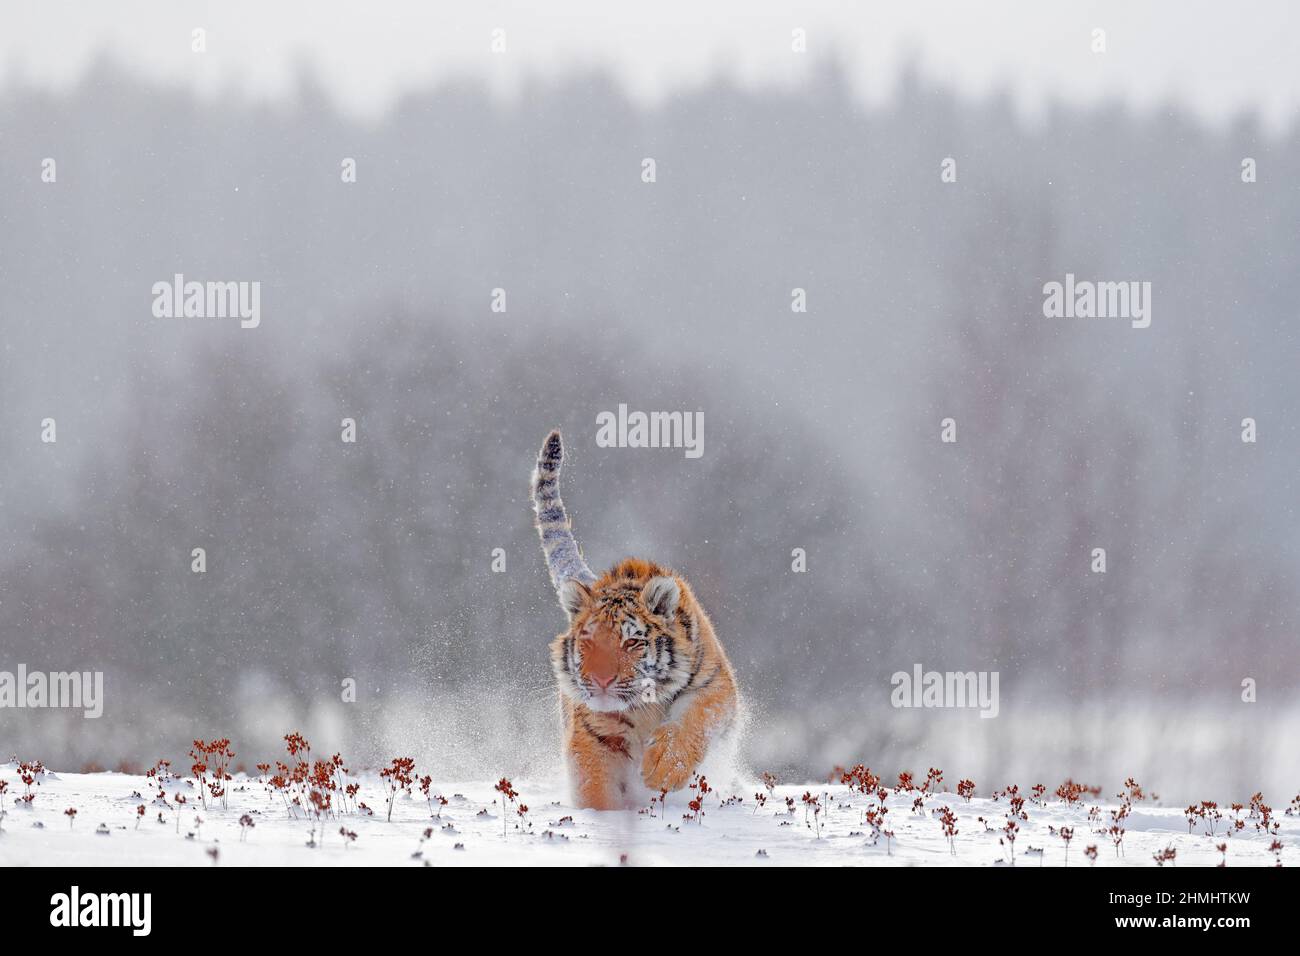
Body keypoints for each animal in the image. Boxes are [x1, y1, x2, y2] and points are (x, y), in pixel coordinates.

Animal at [530, 429, 740, 810]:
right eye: (588, 641)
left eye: (632, 642)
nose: (600, 680)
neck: (644, 708)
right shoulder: (591, 730)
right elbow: (595, 784)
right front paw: (602, 818)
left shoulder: (714, 687)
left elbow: (695, 719)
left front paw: (663, 770)